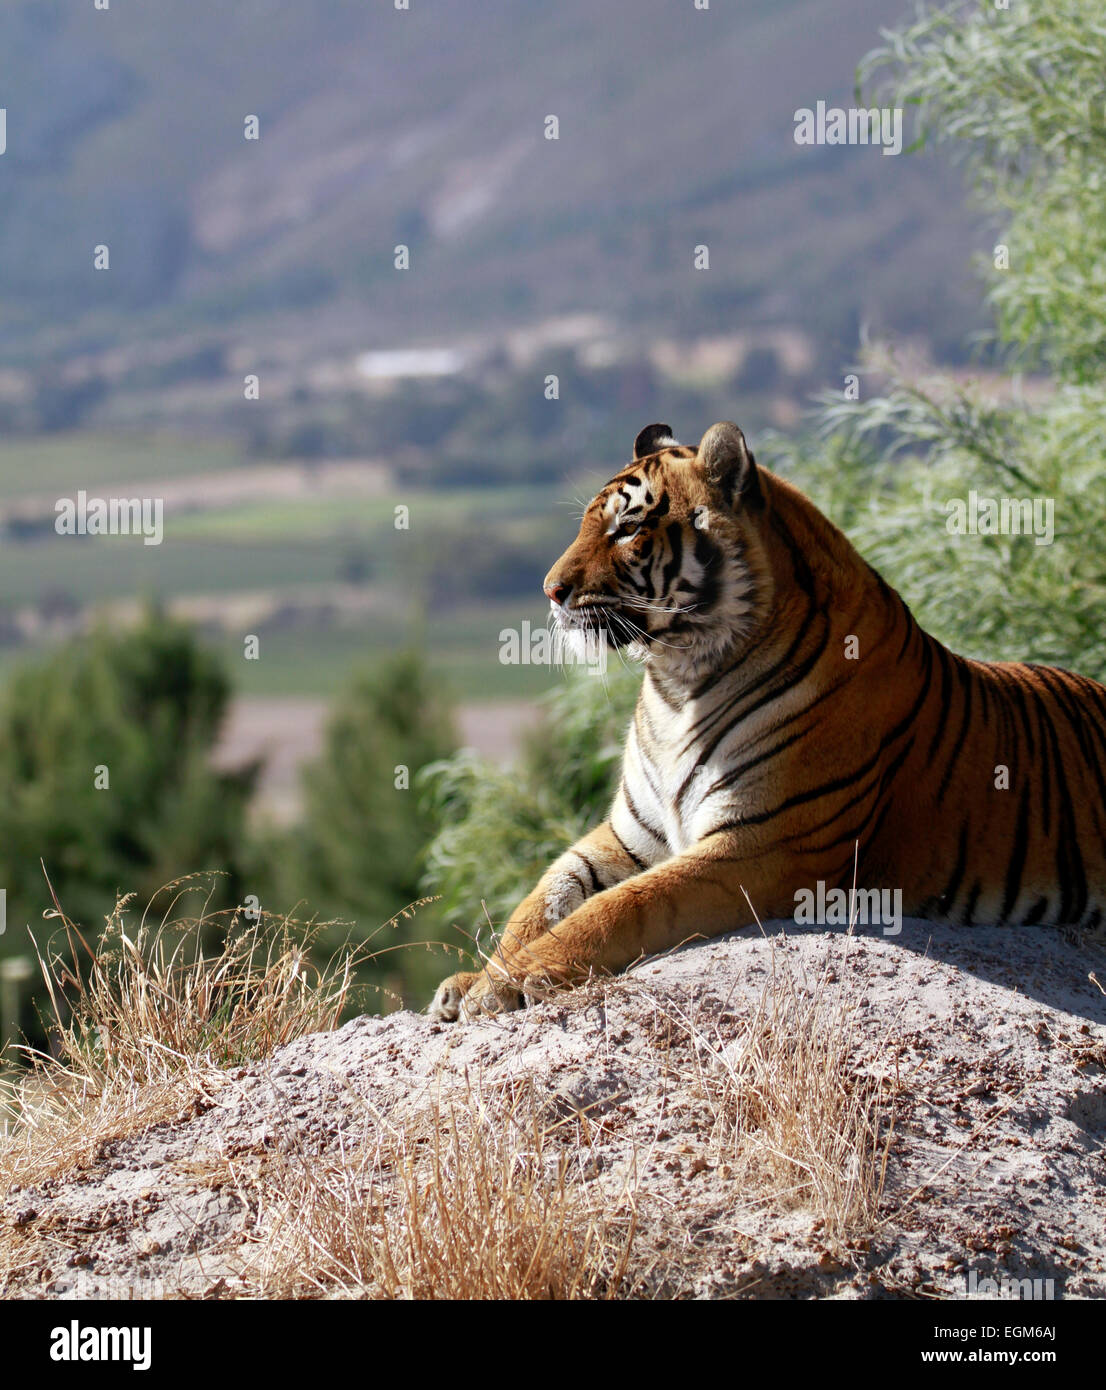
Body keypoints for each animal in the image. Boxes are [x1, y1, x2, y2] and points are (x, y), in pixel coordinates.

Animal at [430, 420, 1106, 1022]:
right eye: (586, 524)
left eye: (628, 528)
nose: (550, 590)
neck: (677, 682)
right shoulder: (627, 834)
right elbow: (543, 896)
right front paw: (471, 980)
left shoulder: (762, 846)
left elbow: (621, 909)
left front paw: (505, 985)